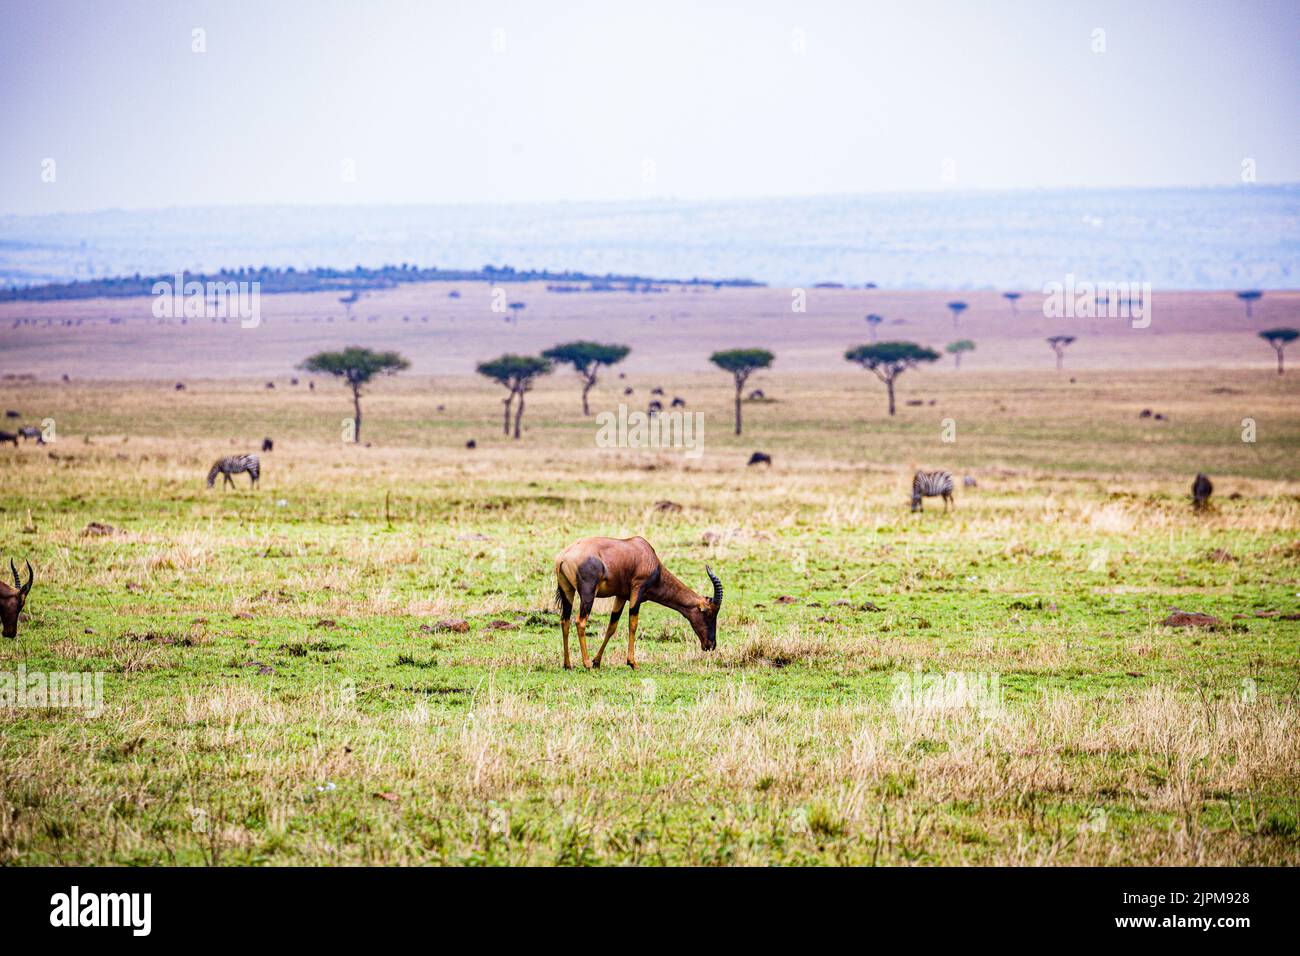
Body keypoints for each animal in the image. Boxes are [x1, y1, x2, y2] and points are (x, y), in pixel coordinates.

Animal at [553, 536, 721, 670]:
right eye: (708, 613)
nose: (711, 645)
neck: (647, 555)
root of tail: (563, 557)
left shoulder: (621, 596)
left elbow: (612, 626)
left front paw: (597, 661)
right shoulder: (637, 591)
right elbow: (633, 624)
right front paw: (632, 663)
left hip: (567, 591)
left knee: (565, 621)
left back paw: (568, 664)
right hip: (588, 594)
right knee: (580, 621)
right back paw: (586, 664)